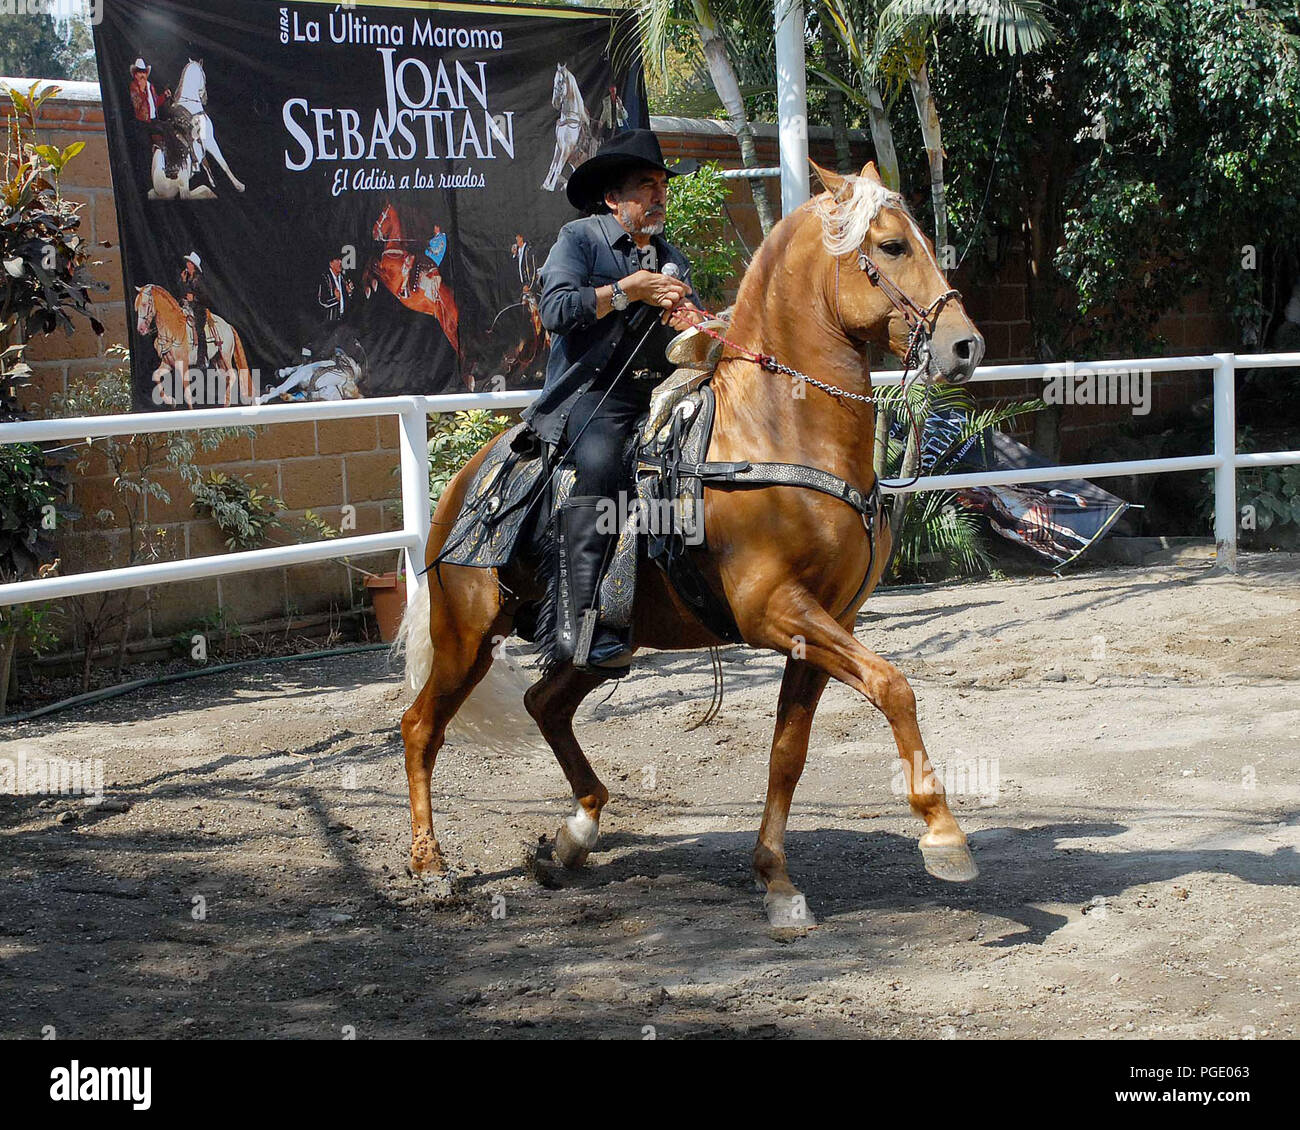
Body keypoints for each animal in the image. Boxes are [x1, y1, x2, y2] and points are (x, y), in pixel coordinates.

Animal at [363, 203, 462, 365]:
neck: (395, 252)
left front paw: (370, 286)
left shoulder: (388, 276)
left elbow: (371, 262)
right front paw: (370, 285)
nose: (373, 232)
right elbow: (370, 263)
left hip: (450, 328)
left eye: (383, 214)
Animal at [396, 161, 986, 926]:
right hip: (465, 631)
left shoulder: (828, 622)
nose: (965, 346)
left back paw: (573, 838)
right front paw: (945, 836)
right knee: (420, 726)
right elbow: (894, 685)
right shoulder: (773, 609)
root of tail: (468, 479)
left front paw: (776, 880)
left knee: (544, 704)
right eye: (890, 246)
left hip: (603, 643)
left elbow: (788, 752)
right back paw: (430, 865)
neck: (776, 430)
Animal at [541, 64, 597, 192]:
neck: (568, 119)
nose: (555, 103)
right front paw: (545, 185)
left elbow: (558, 168)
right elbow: (553, 166)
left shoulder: (567, 148)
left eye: (561, 82)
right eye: (554, 80)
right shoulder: (558, 146)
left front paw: (550, 187)